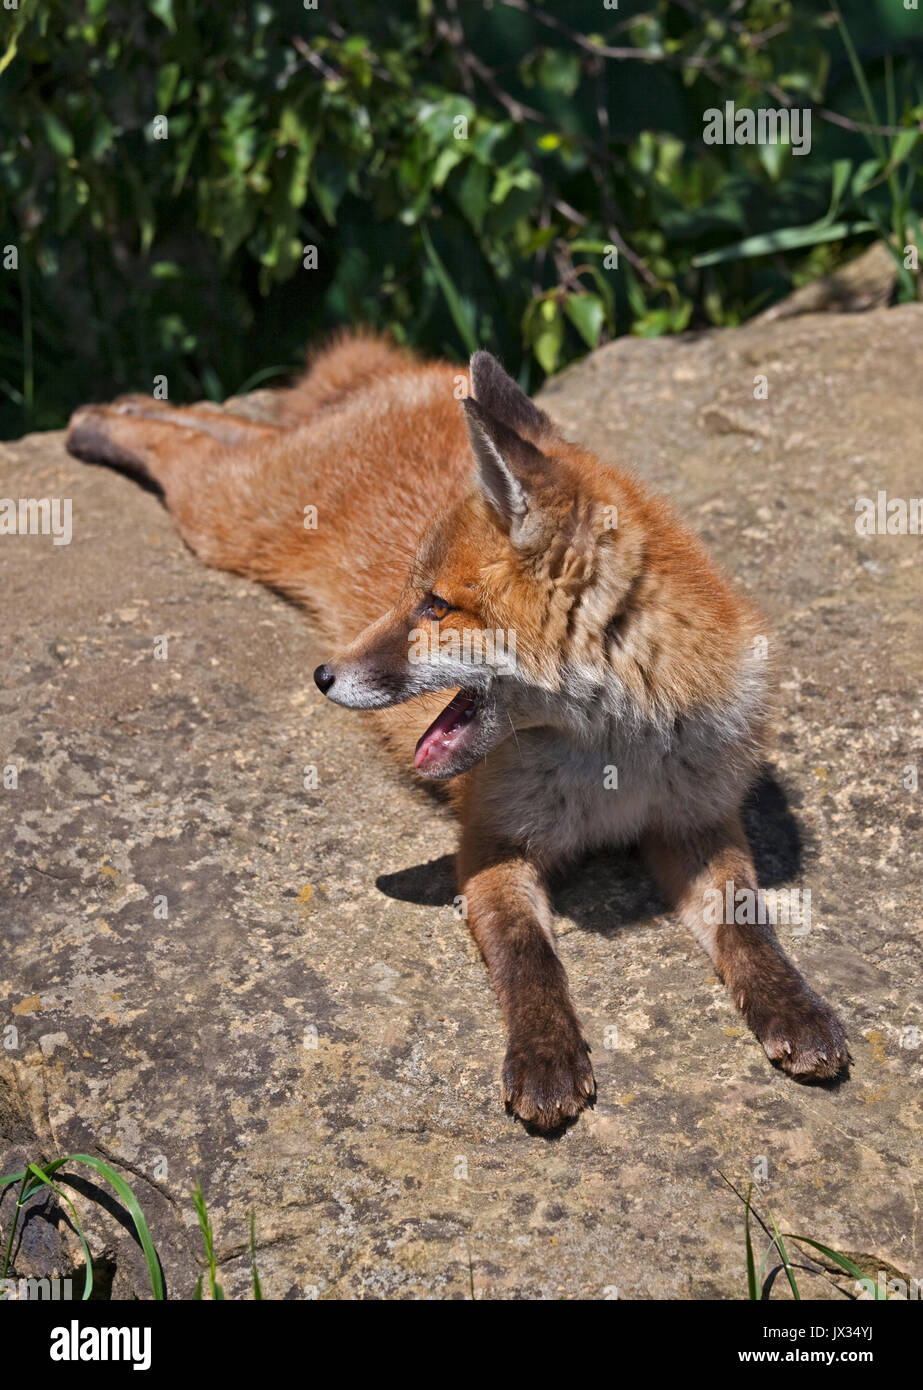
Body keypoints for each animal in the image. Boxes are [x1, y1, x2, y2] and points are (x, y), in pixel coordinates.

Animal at [66, 331, 849, 1132]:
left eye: (435, 605)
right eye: (413, 596)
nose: (322, 675)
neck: (611, 763)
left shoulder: (699, 824)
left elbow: (748, 926)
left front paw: (793, 1006)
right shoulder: (490, 843)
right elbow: (529, 956)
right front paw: (544, 1053)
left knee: (229, 430)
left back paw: (120, 407)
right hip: (229, 520)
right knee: (192, 448)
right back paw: (96, 421)